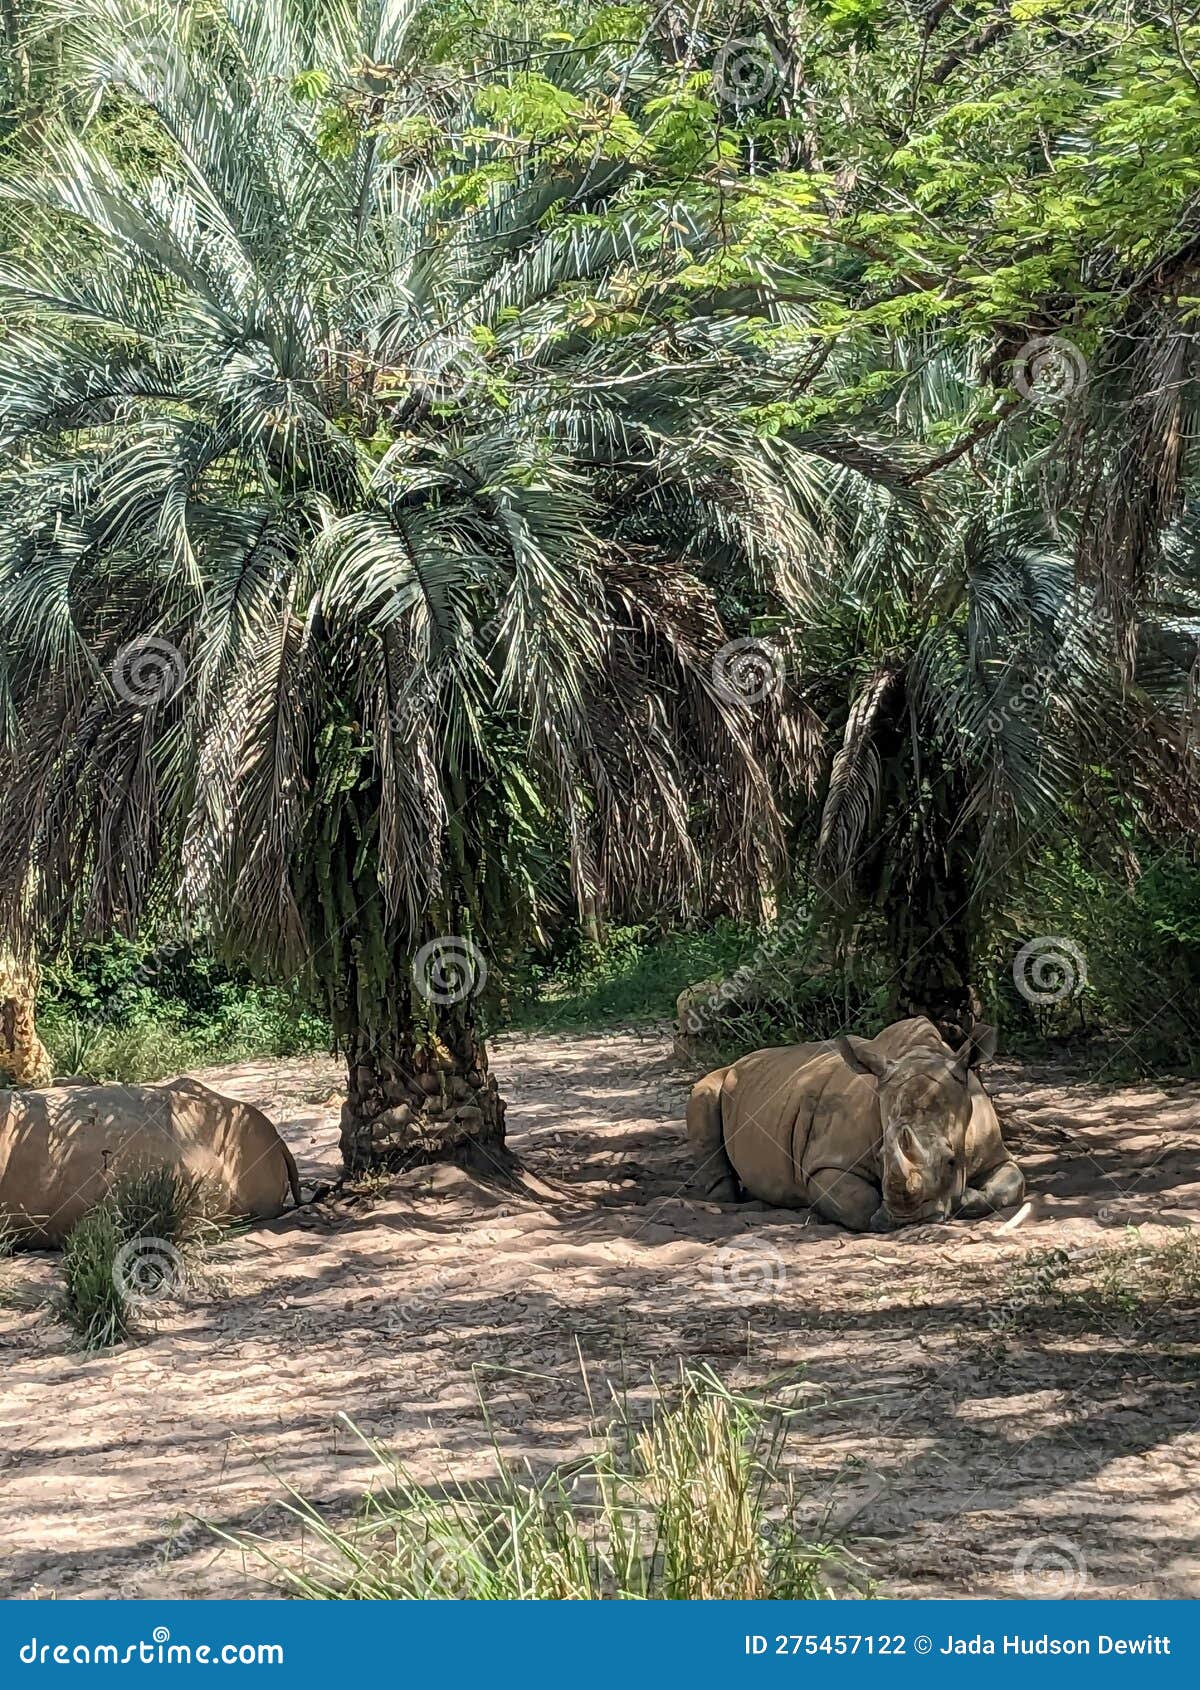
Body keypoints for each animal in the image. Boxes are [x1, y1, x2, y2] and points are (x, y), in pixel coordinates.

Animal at [686, 1016, 1024, 1231]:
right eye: (880, 1157)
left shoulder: (994, 1151)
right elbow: (858, 1203)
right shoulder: (824, 1164)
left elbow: (1010, 1185)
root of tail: (744, 1060)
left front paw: (963, 1199)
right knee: (704, 1094)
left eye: (952, 1161)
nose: (907, 1220)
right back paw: (728, 1200)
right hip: (723, 1077)